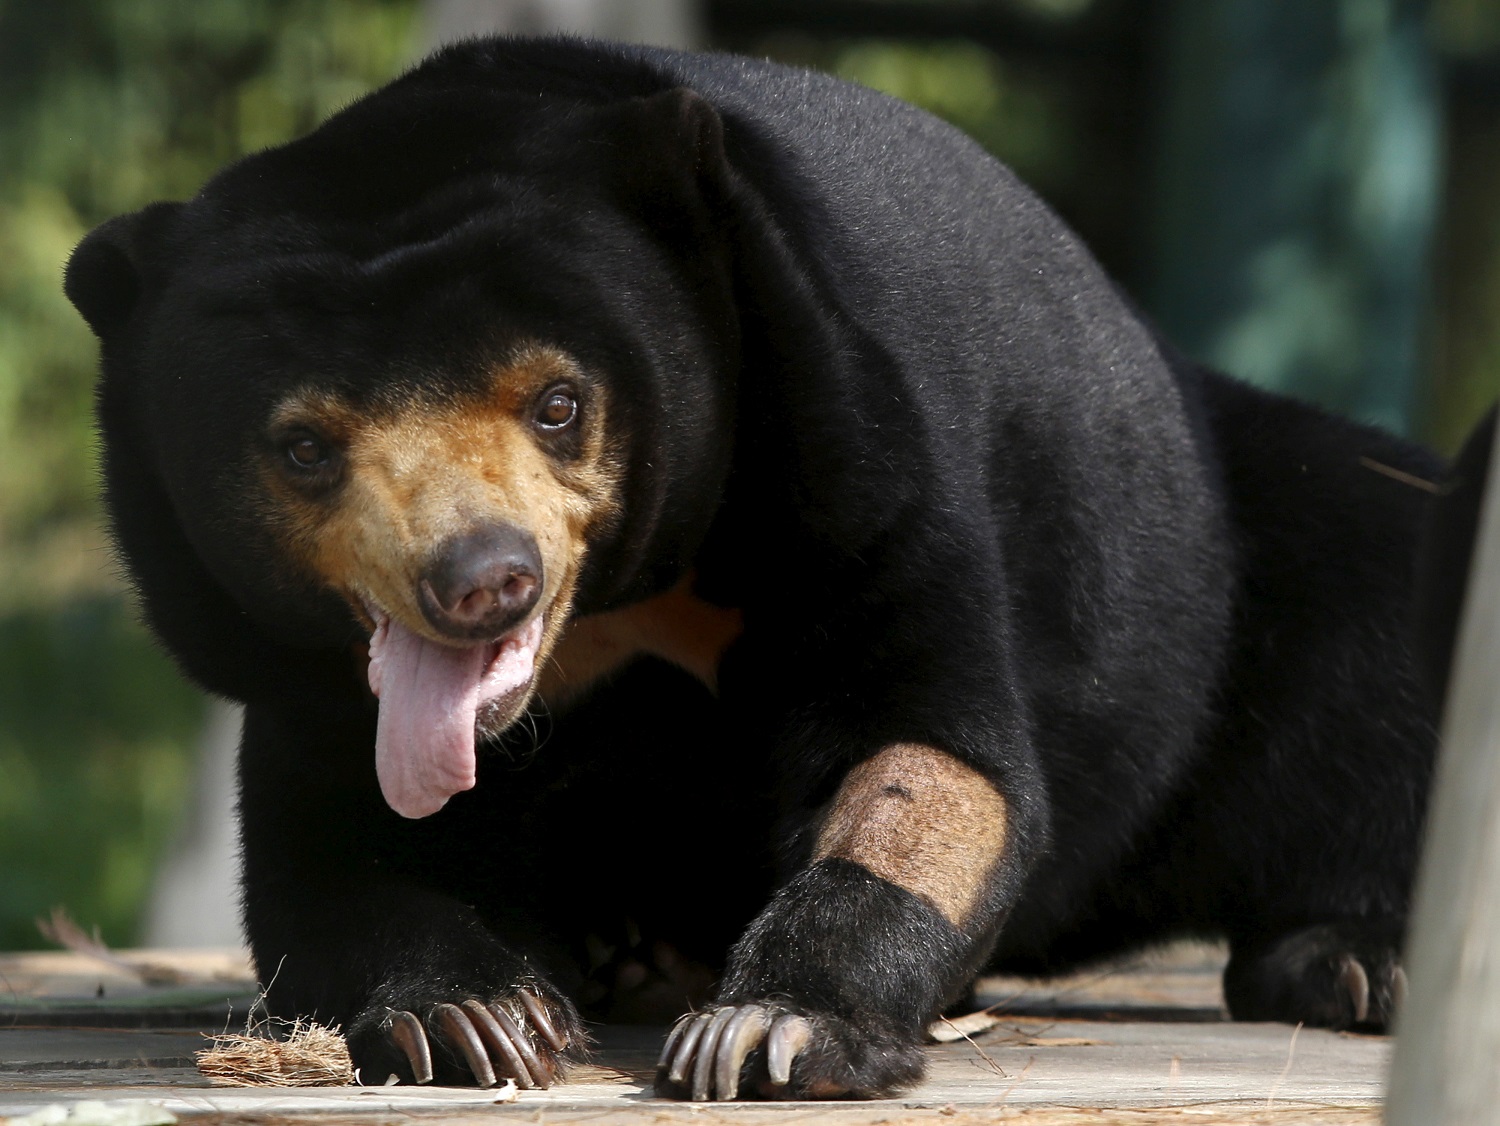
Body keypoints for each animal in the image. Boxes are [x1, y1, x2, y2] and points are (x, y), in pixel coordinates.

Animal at [65, 36, 1440, 1100]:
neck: (614, 618)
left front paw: (771, 1029)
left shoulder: (855, 448)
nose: (483, 580)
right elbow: (334, 850)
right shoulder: (298, 674)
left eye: (560, 404)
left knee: (1384, 603)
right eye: (304, 446)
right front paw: (471, 1014)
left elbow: (931, 756)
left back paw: (1355, 954)